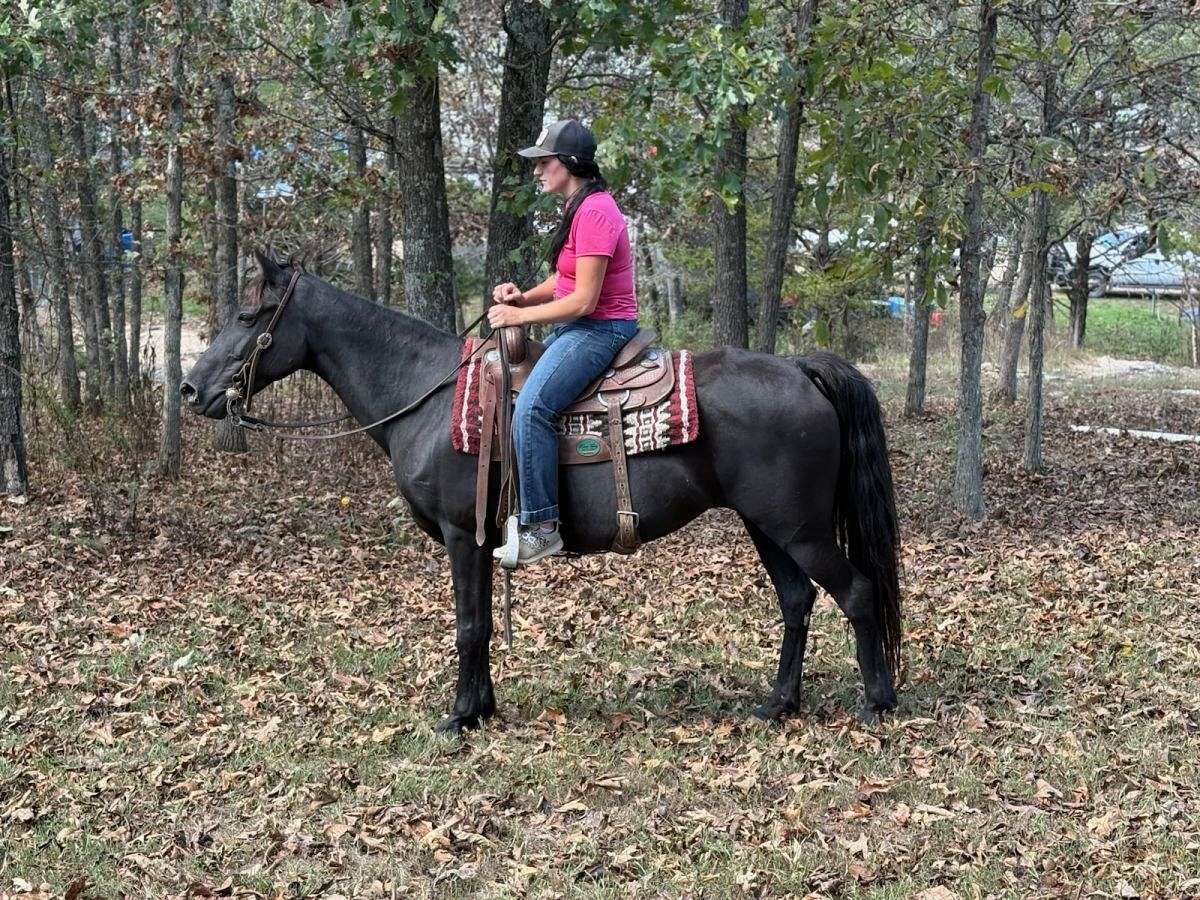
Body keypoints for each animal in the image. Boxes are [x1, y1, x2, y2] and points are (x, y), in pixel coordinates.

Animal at [181, 249, 902, 733]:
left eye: (246, 314)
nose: (191, 389)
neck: (425, 393)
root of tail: (801, 368)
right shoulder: (473, 541)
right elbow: (478, 628)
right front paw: (483, 707)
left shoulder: (461, 536)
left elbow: (469, 626)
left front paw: (461, 716)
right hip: (768, 525)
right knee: (796, 601)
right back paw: (779, 703)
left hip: (799, 527)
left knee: (857, 593)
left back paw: (877, 702)